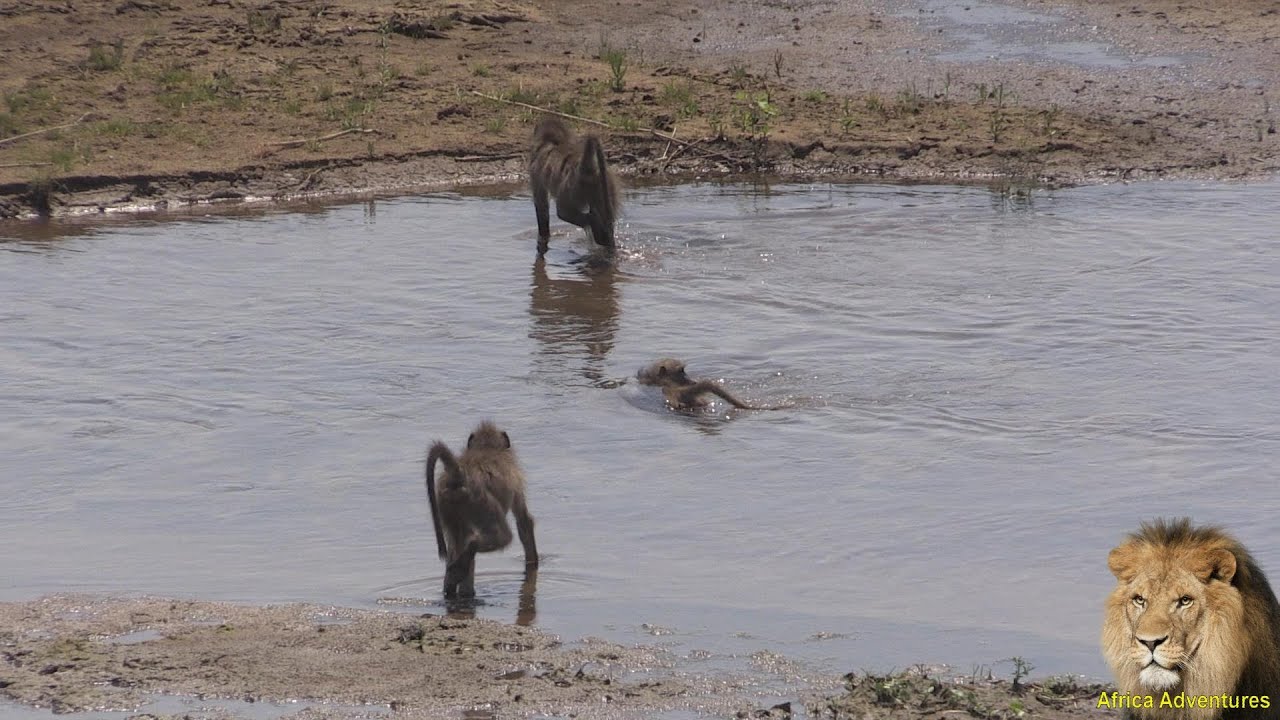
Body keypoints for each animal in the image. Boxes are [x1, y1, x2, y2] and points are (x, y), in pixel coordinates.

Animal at [424, 421, 538, 599]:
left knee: (457, 542)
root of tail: (458, 474)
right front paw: (533, 564)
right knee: (498, 537)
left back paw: (455, 587)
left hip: (447, 503)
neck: (486, 447)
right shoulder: (516, 479)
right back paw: (461, 571)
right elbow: (524, 521)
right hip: (483, 504)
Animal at [528, 114, 622, 253]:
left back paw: (596, 227)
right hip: (604, 186)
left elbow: (541, 206)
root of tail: (588, 169)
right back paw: (608, 241)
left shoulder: (535, 170)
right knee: (603, 216)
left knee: (564, 213)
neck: (554, 141)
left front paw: (542, 239)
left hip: (571, 190)